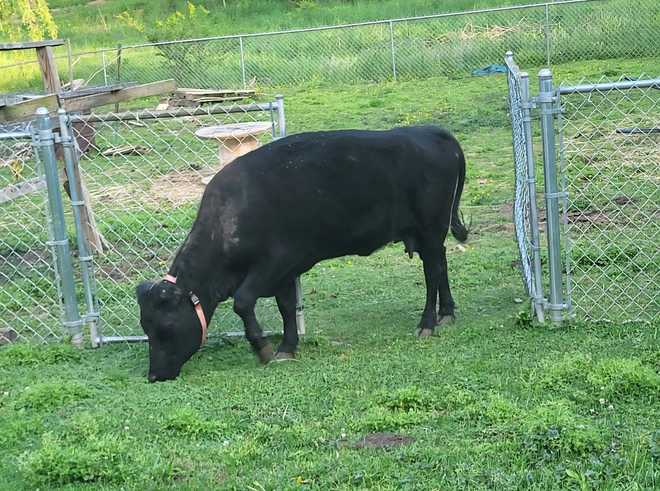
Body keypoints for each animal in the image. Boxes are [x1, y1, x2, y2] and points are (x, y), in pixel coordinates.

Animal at [137, 126, 468, 382]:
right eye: (145, 327)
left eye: (165, 328)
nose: (153, 375)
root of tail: (430, 130)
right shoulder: (285, 271)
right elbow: (285, 307)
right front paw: (287, 347)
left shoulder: (274, 262)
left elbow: (243, 301)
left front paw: (263, 348)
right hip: (428, 236)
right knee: (441, 265)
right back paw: (447, 313)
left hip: (431, 228)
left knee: (432, 273)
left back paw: (427, 323)